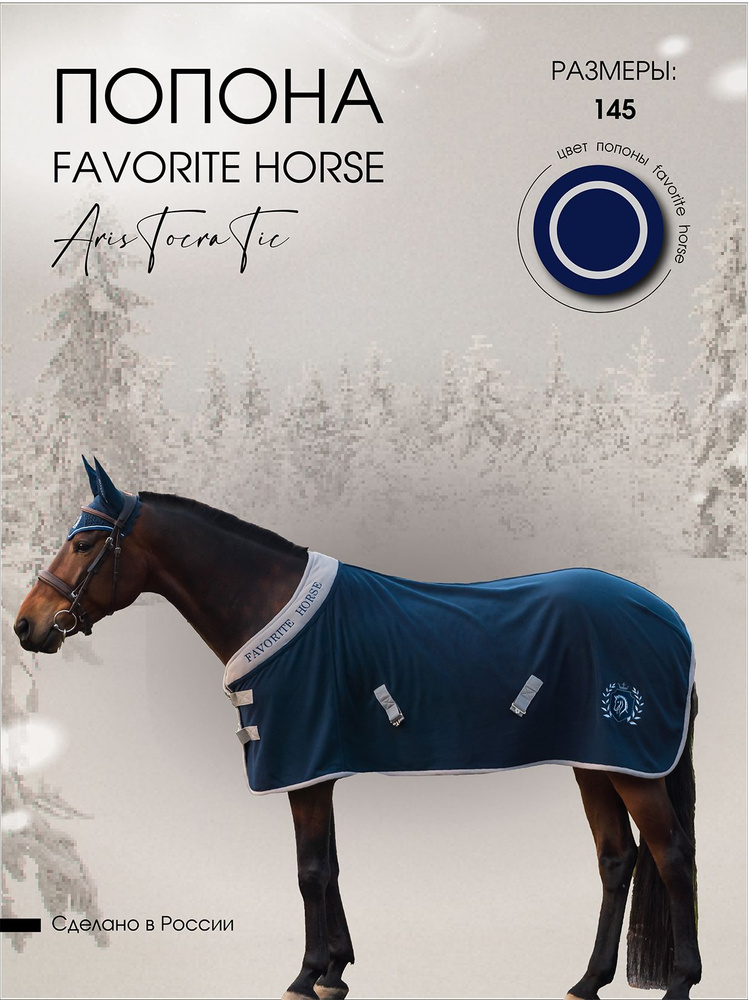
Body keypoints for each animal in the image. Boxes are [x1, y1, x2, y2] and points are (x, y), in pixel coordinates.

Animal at [14, 458, 702, 1000]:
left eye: (83, 546)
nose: (26, 625)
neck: (266, 603)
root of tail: (670, 618)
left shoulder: (304, 765)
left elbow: (310, 871)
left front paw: (305, 976)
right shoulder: (322, 764)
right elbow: (332, 866)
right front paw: (335, 973)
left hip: (633, 767)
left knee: (671, 855)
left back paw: (679, 983)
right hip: (597, 763)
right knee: (617, 859)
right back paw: (586, 982)